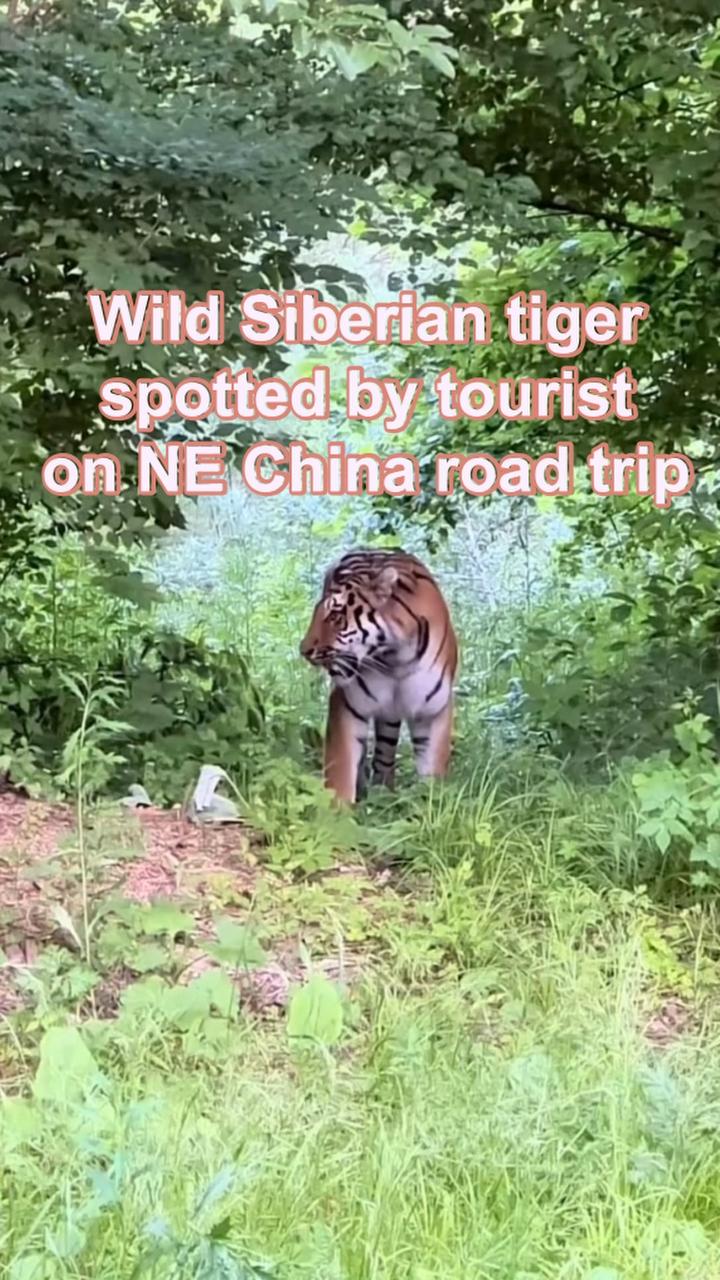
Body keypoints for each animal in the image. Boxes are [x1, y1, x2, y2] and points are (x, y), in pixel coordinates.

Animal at [300, 547, 459, 803]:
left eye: (335, 616)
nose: (303, 650)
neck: (396, 659)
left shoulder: (433, 711)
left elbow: (433, 769)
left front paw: (431, 803)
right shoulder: (348, 706)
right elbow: (340, 770)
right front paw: (337, 811)